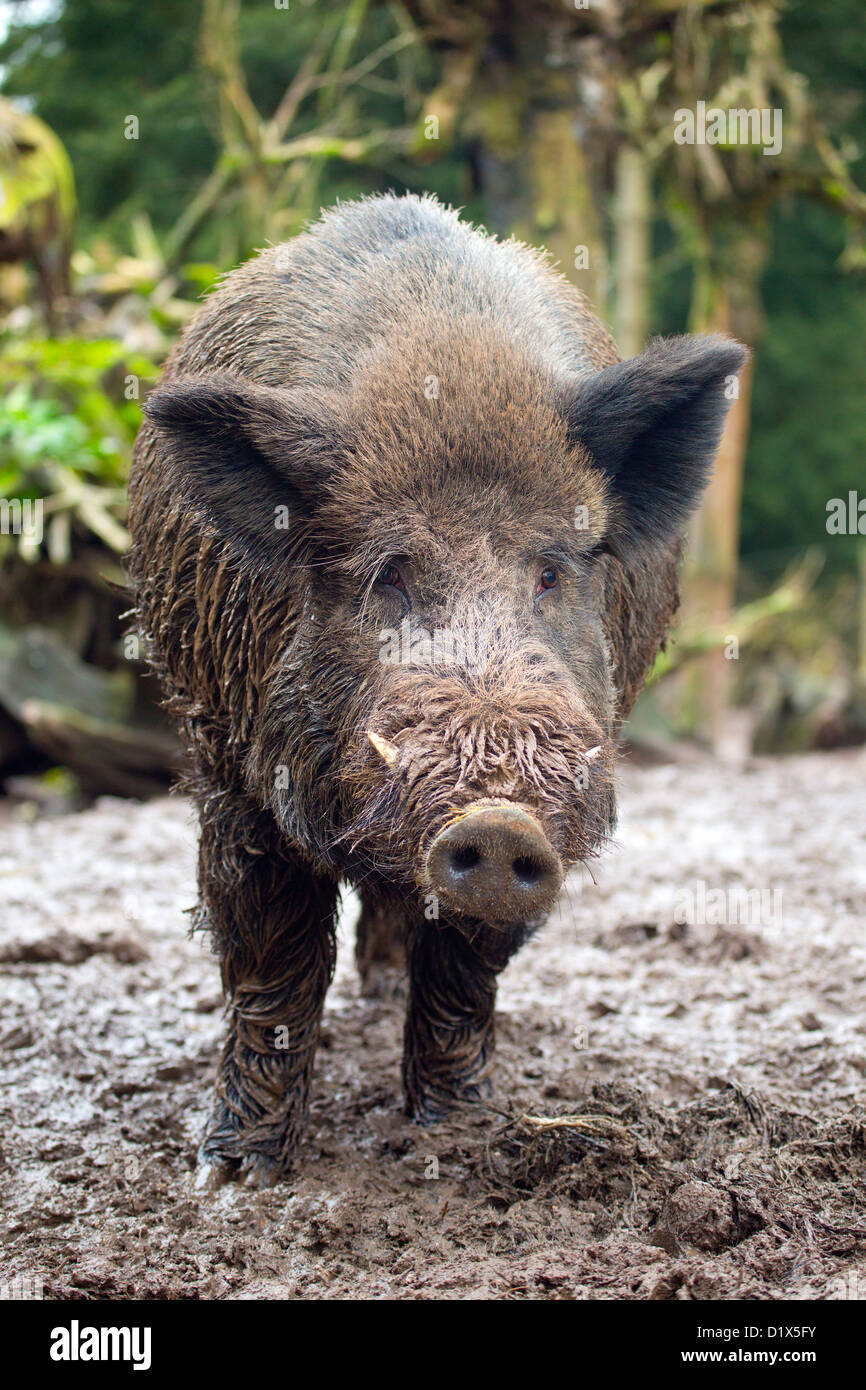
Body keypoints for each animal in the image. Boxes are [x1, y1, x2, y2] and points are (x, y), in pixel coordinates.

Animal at [128, 192, 746, 1182]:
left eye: (551, 572)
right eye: (390, 574)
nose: (496, 819)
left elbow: (465, 971)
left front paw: (460, 1131)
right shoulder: (231, 767)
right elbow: (271, 961)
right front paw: (233, 1177)